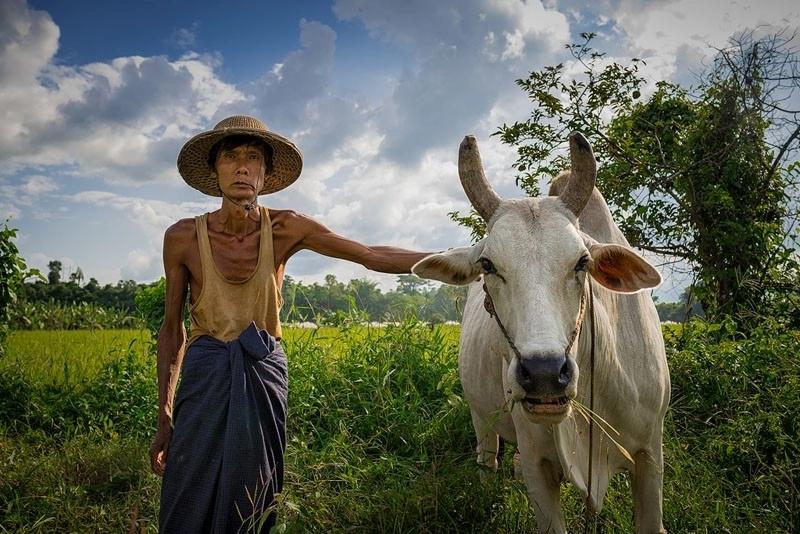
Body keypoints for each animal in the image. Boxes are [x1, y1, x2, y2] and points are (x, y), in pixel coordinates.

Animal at [412, 133, 668, 532]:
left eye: (582, 262)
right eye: (487, 264)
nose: (545, 373)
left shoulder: (651, 453)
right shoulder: (537, 463)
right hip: (480, 416)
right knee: (487, 458)